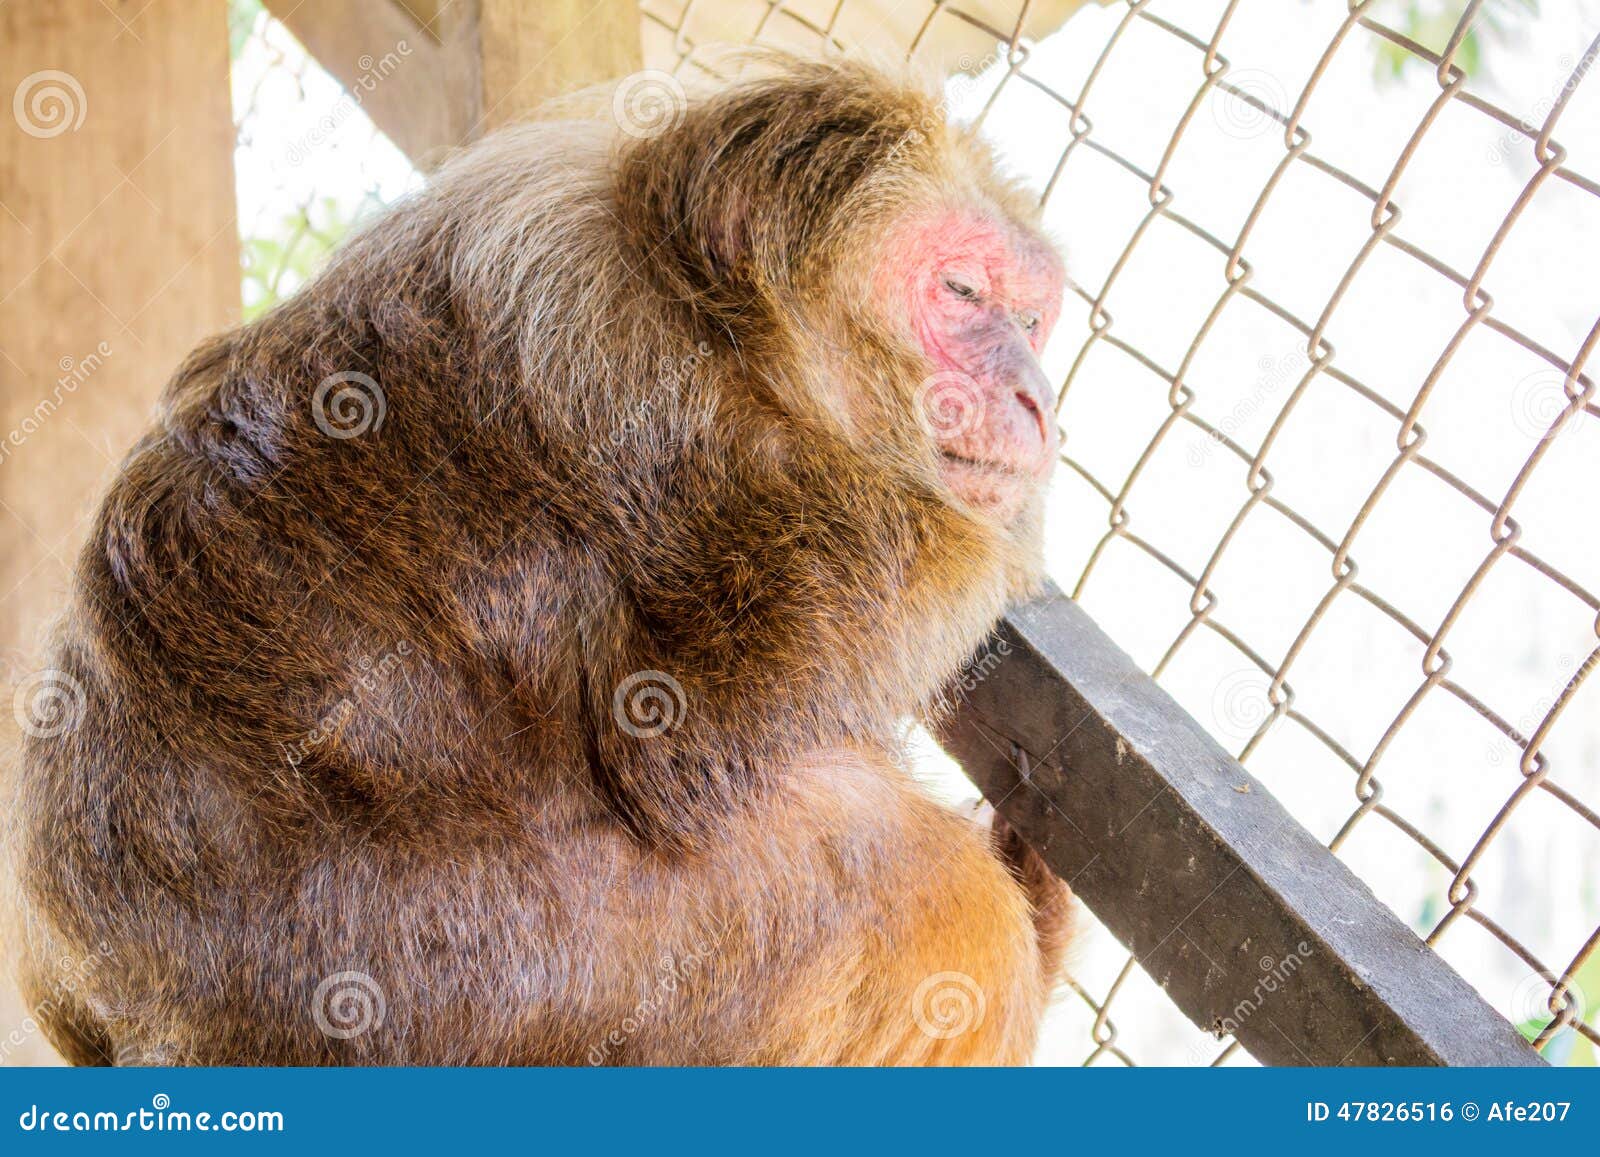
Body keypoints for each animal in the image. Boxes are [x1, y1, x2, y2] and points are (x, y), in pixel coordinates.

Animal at [9, 56, 1073, 1066]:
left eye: (1030, 319)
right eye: (963, 294)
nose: (1034, 395)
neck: (713, 318)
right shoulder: (633, 391)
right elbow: (679, 736)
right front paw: (1003, 541)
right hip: (494, 975)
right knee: (926, 896)